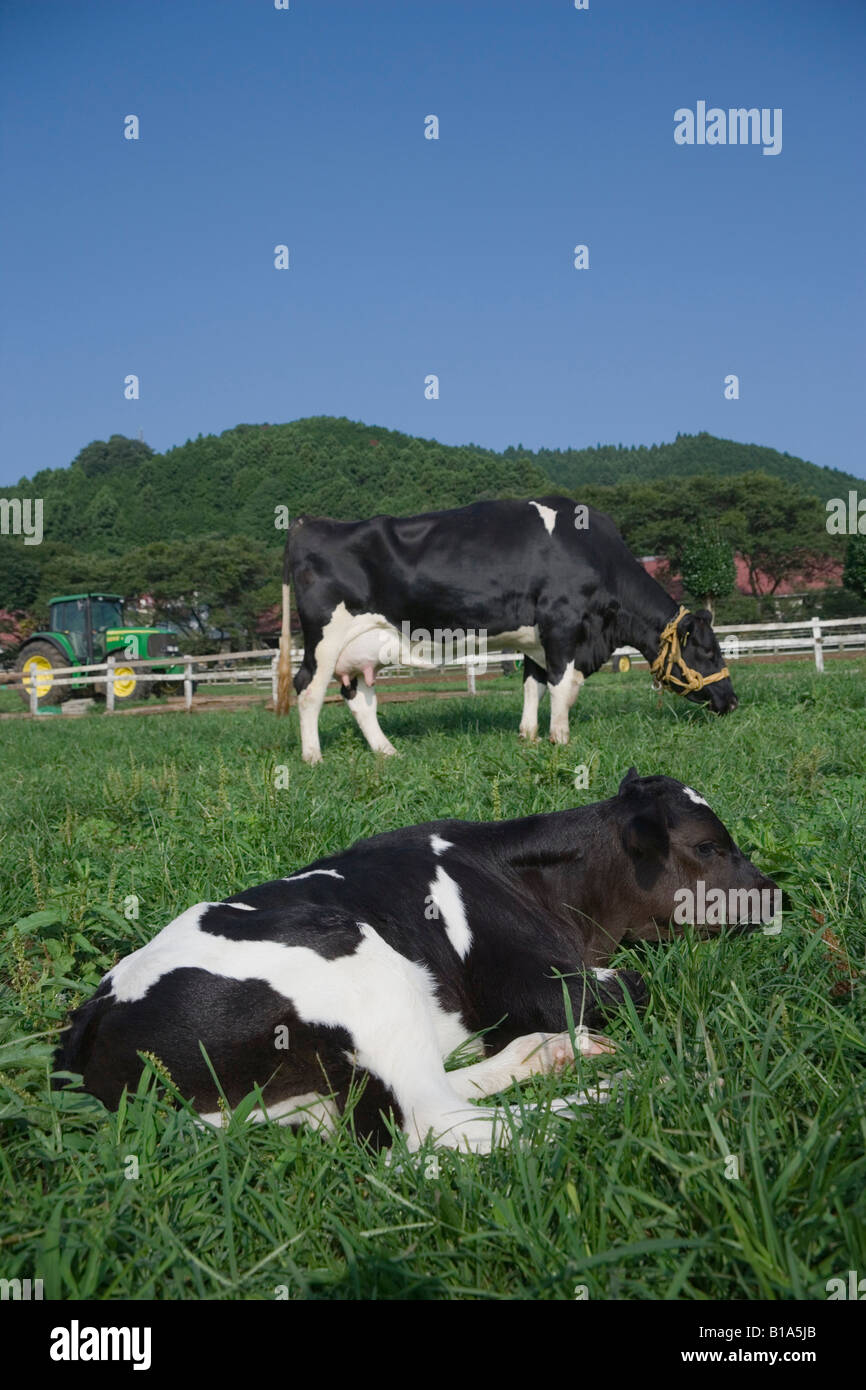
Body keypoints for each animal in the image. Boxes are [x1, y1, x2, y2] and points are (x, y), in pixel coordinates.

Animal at [54, 772, 777, 1155]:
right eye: (709, 846)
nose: (776, 894)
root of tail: (91, 1018)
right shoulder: (543, 985)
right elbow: (636, 986)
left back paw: (553, 1057)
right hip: (361, 969)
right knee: (439, 1125)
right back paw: (656, 1088)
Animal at [274, 497, 736, 763]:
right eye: (709, 651)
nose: (732, 701)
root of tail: (308, 522)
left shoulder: (535, 637)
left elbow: (534, 684)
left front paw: (528, 736)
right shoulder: (562, 622)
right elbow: (562, 686)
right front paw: (560, 740)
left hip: (360, 650)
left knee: (359, 698)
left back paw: (388, 752)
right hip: (325, 637)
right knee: (308, 689)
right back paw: (313, 757)